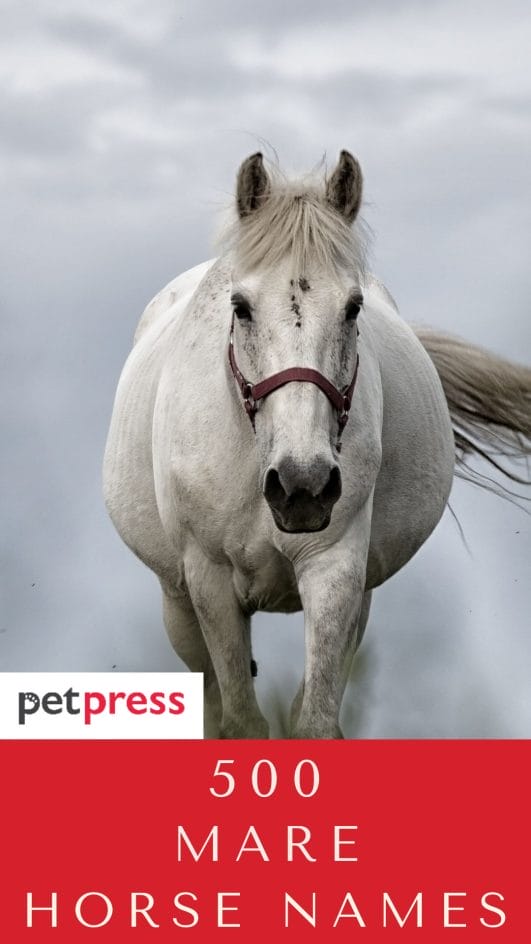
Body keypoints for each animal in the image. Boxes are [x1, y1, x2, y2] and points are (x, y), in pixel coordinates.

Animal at [103, 150, 531, 739]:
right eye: (241, 307)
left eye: (353, 308)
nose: (301, 485)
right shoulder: (209, 582)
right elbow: (239, 723)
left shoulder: (336, 571)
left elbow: (316, 722)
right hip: (178, 605)